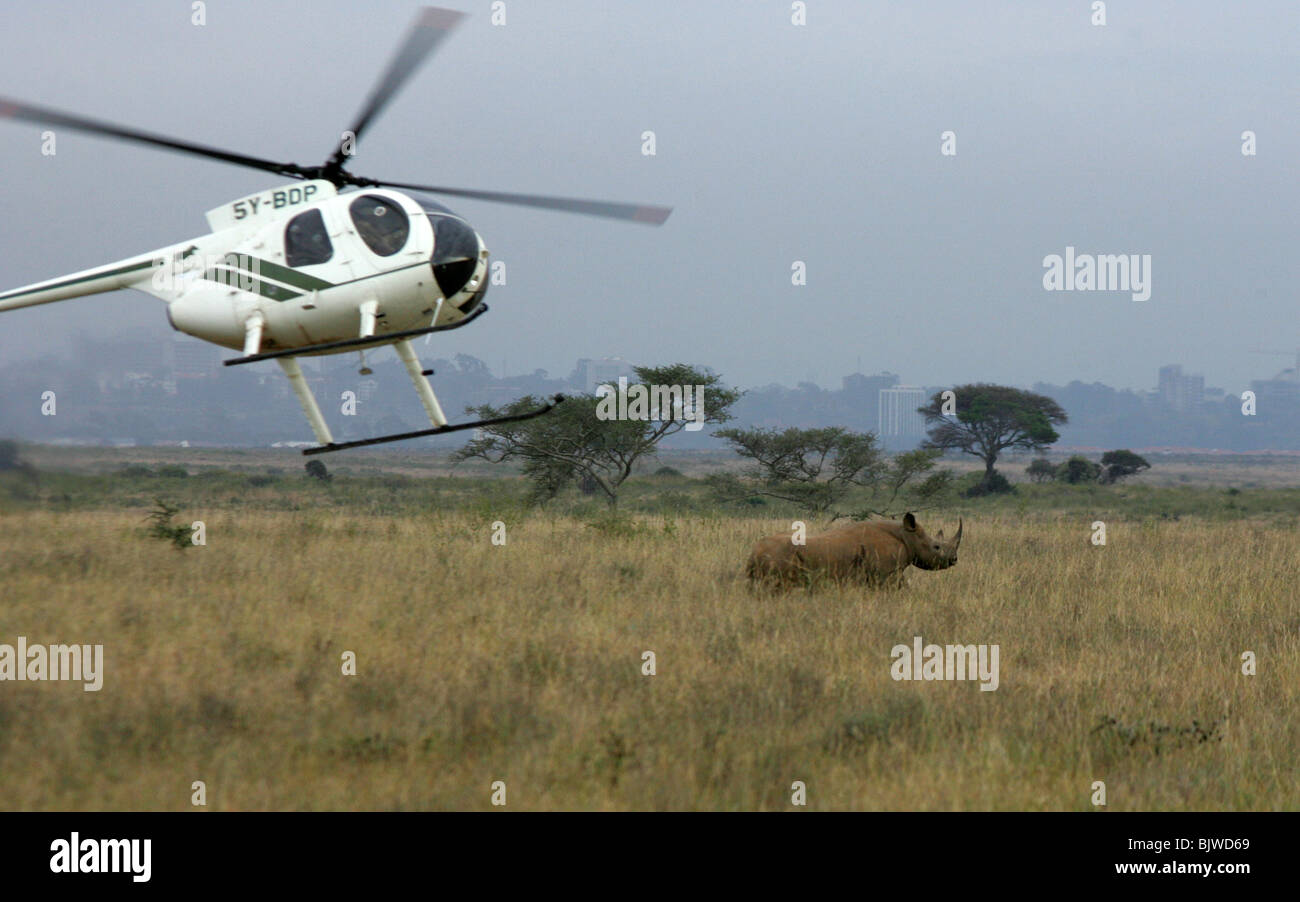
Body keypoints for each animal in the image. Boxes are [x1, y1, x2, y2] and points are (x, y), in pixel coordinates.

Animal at [746, 512, 962, 589]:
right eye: (936, 547)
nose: (954, 559)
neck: (906, 536)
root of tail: (753, 553)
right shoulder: (887, 573)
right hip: (778, 558)